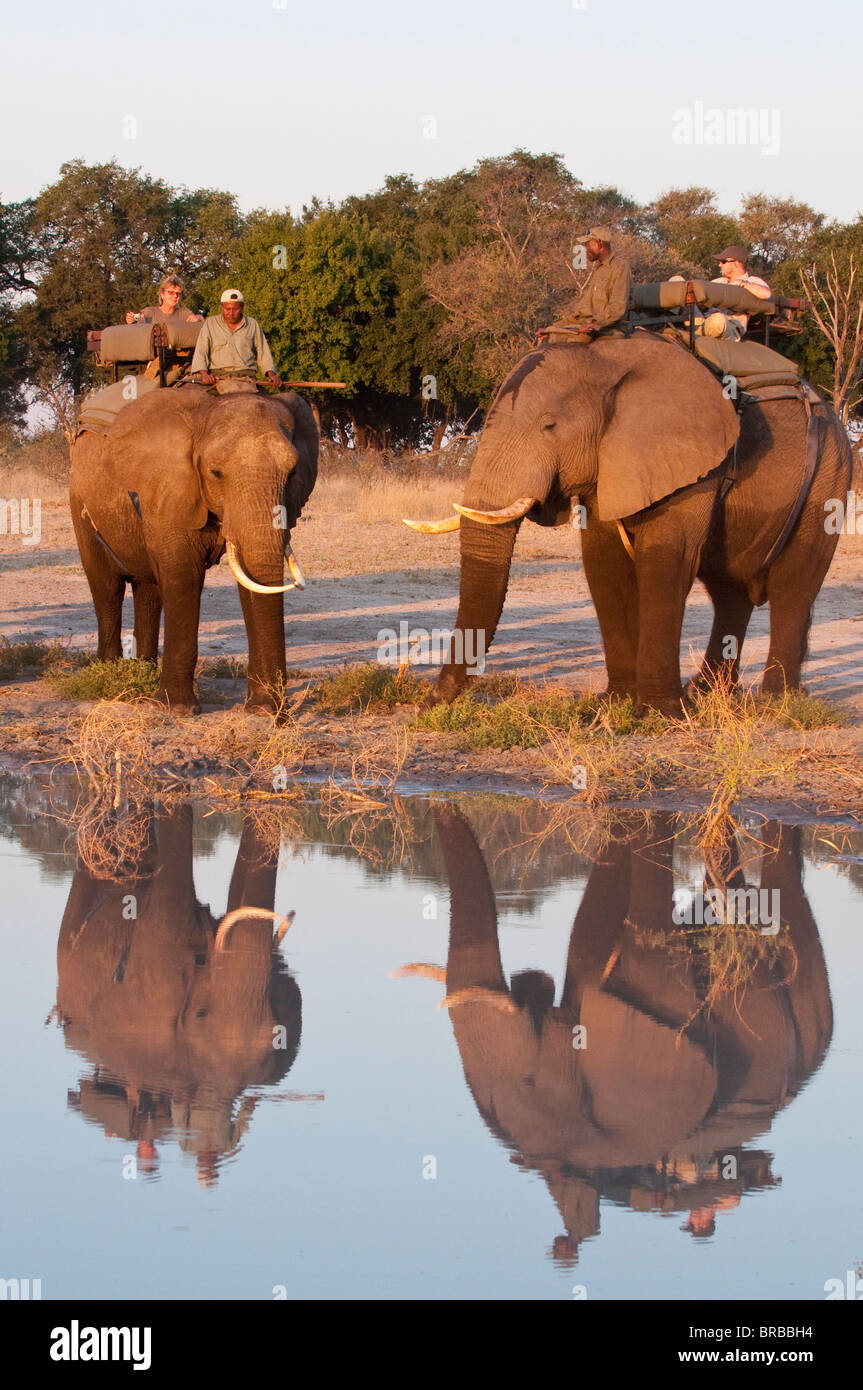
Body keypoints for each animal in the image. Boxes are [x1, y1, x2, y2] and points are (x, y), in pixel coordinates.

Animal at [69, 382, 318, 714]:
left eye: (292, 473)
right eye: (216, 473)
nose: (280, 714)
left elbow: (250, 580)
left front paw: (260, 708)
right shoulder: (168, 490)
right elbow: (183, 575)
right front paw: (178, 708)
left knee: (149, 589)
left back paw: (144, 670)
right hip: (79, 497)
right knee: (107, 586)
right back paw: (110, 672)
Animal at [407, 336, 852, 714]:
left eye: (549, 425)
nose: (427, 705)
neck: (608, 360)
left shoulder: (691, 466)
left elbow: (667, 561)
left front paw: (659, 715)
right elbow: (603, 563)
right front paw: (616, 704)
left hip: (828, 480)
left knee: (793, 587)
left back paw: (777, 703)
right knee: (730, 592)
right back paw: (707, 694)